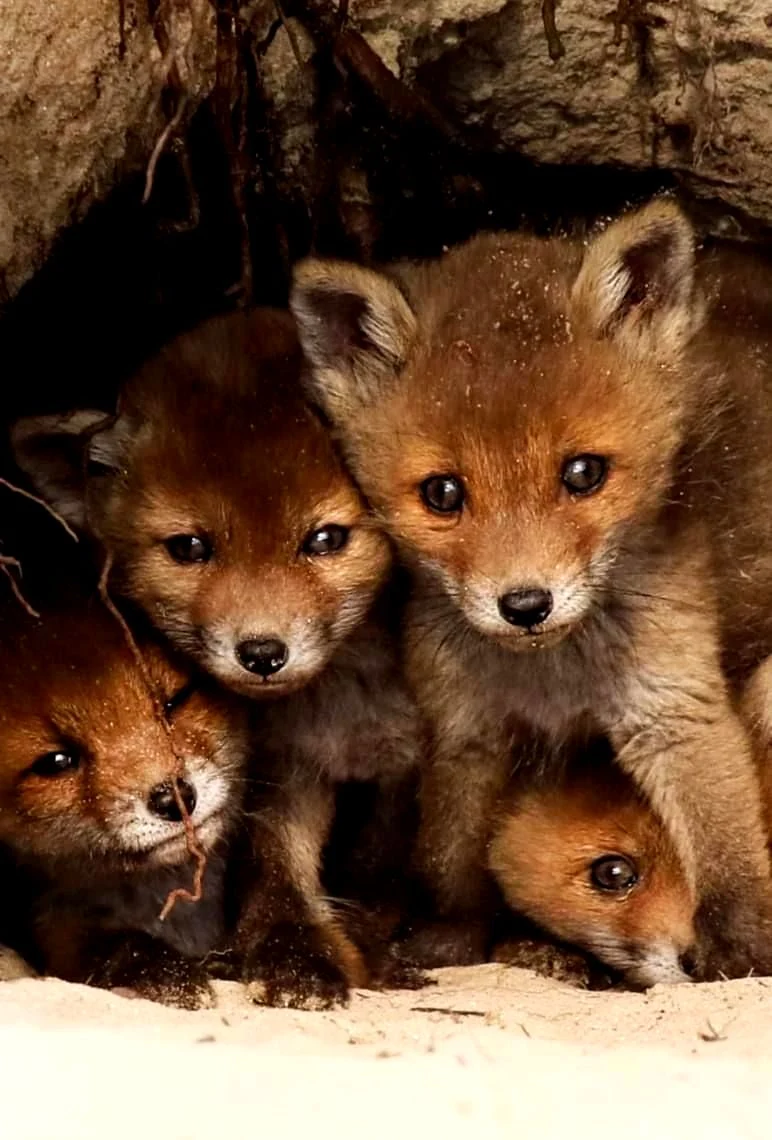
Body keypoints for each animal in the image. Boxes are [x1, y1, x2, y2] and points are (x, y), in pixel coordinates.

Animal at [0, 559, 248, 1009]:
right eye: (57, 761)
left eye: (174, 701)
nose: (175, 799)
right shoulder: (59, 924)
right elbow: (108, 945)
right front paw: (161, 972)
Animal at [289, 199, 772, 981]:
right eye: (443, 493)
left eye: (583, 473)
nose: (524, 605)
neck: (554, 679)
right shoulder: (463, 727)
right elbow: (451, 855)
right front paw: (448, 939)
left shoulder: (673, 705)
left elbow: (725, 843)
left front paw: (744, 947)